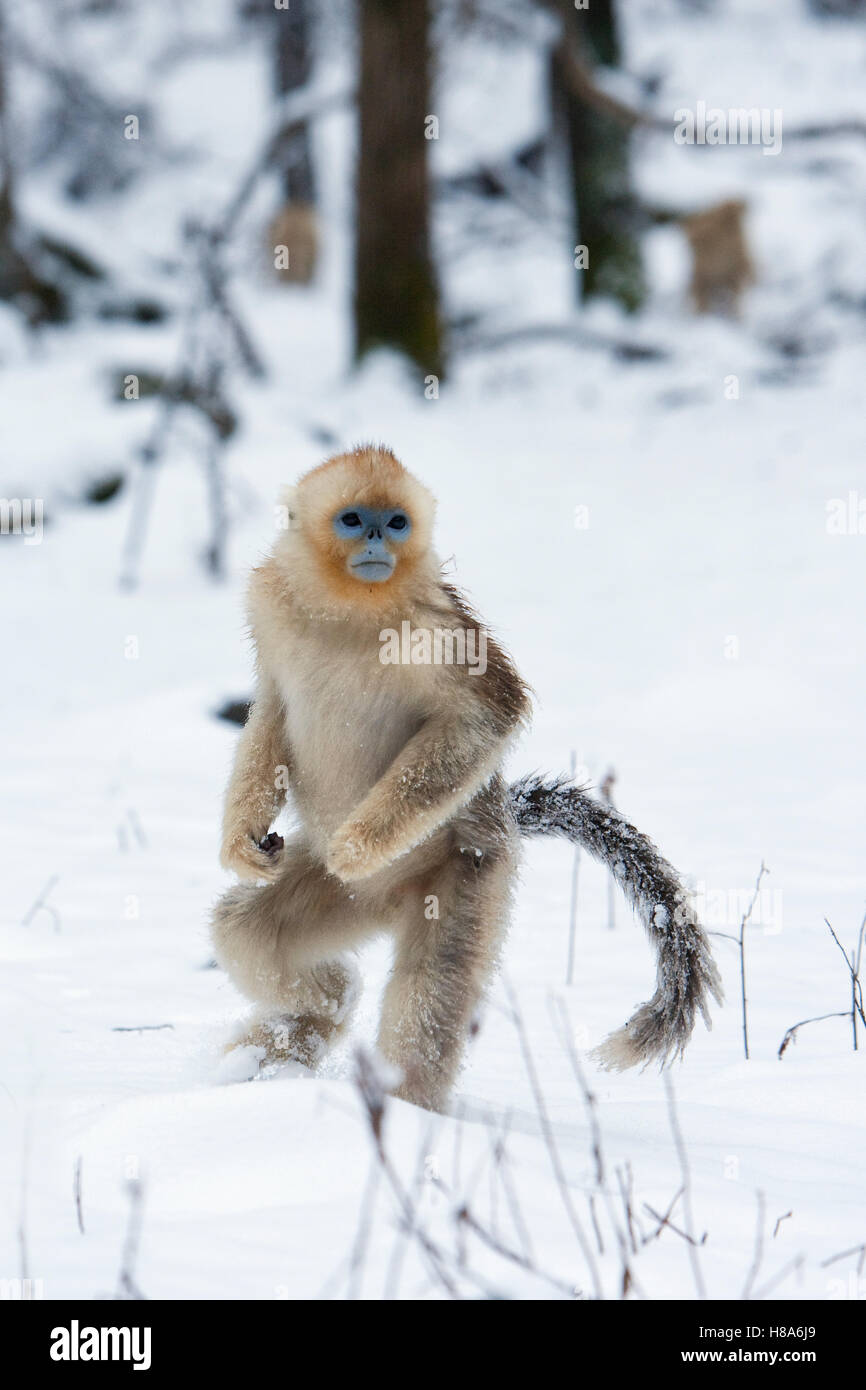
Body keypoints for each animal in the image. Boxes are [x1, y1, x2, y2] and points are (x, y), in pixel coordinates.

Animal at [211, 445, 721, 1110]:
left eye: (395, 522)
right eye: (353, 519)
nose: (376, 539)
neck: (349, 611)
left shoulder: (438, 627)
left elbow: (487, 715)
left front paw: (358, 847)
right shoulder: (270, 601)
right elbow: (271, 709)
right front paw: (241, 844)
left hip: (468, 873)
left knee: (428, 997)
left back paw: (403, 1105)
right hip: (335, 897)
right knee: (243, 933)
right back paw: (313, 1018)